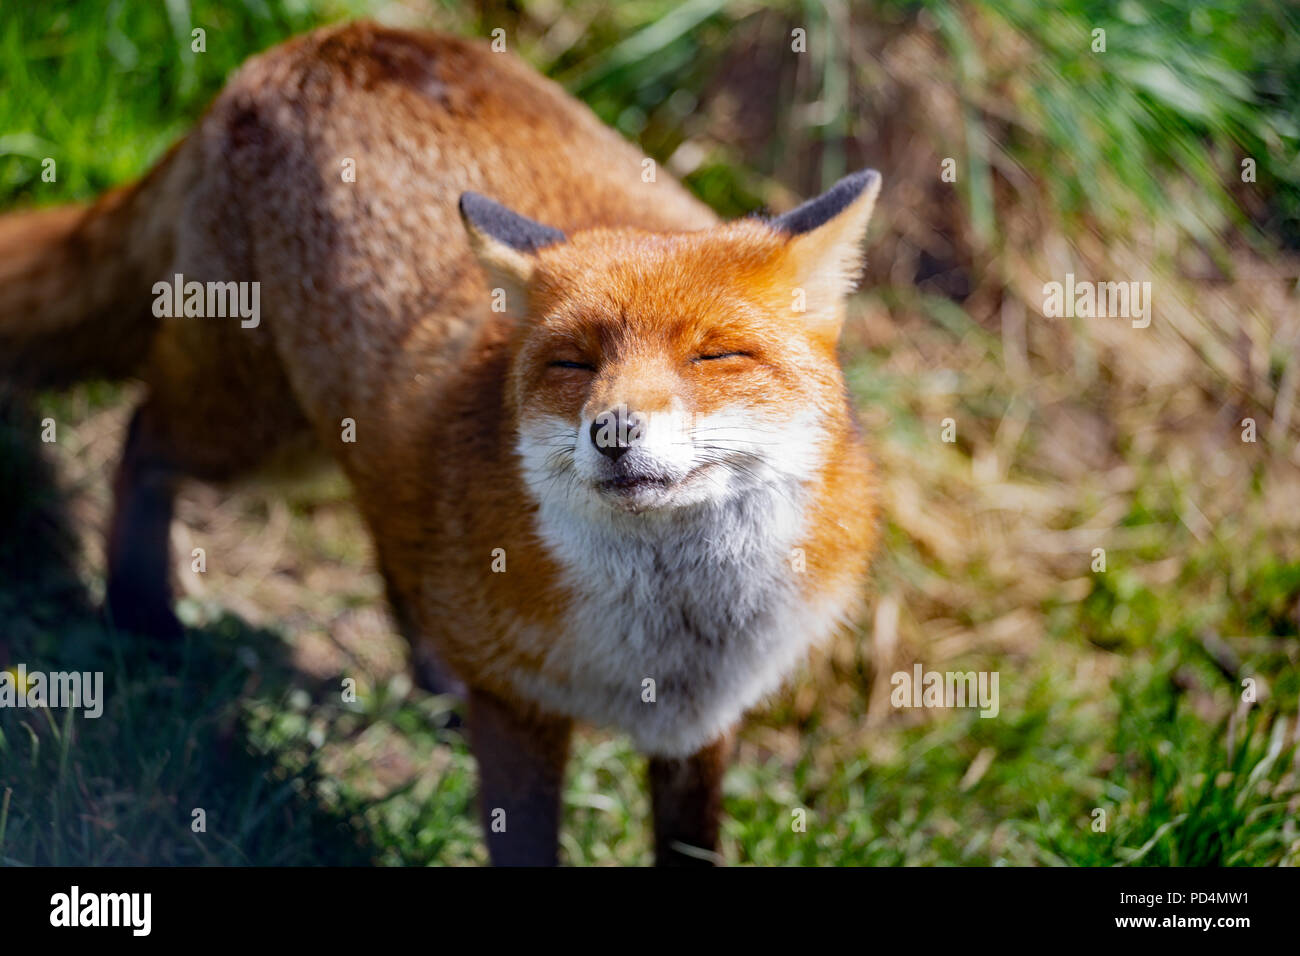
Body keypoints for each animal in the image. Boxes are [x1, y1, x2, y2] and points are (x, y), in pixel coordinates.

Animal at [0, 21, 881, 865]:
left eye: (715, 356)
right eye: (573, 362)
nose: (614, 429)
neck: (674, 632)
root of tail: (312, 44)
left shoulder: (702, 724)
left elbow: (689, 843)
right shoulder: (520, 709)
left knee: (387, 535)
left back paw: (431, 671)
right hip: (253, 431)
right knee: (141, 436)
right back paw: (141, 616)